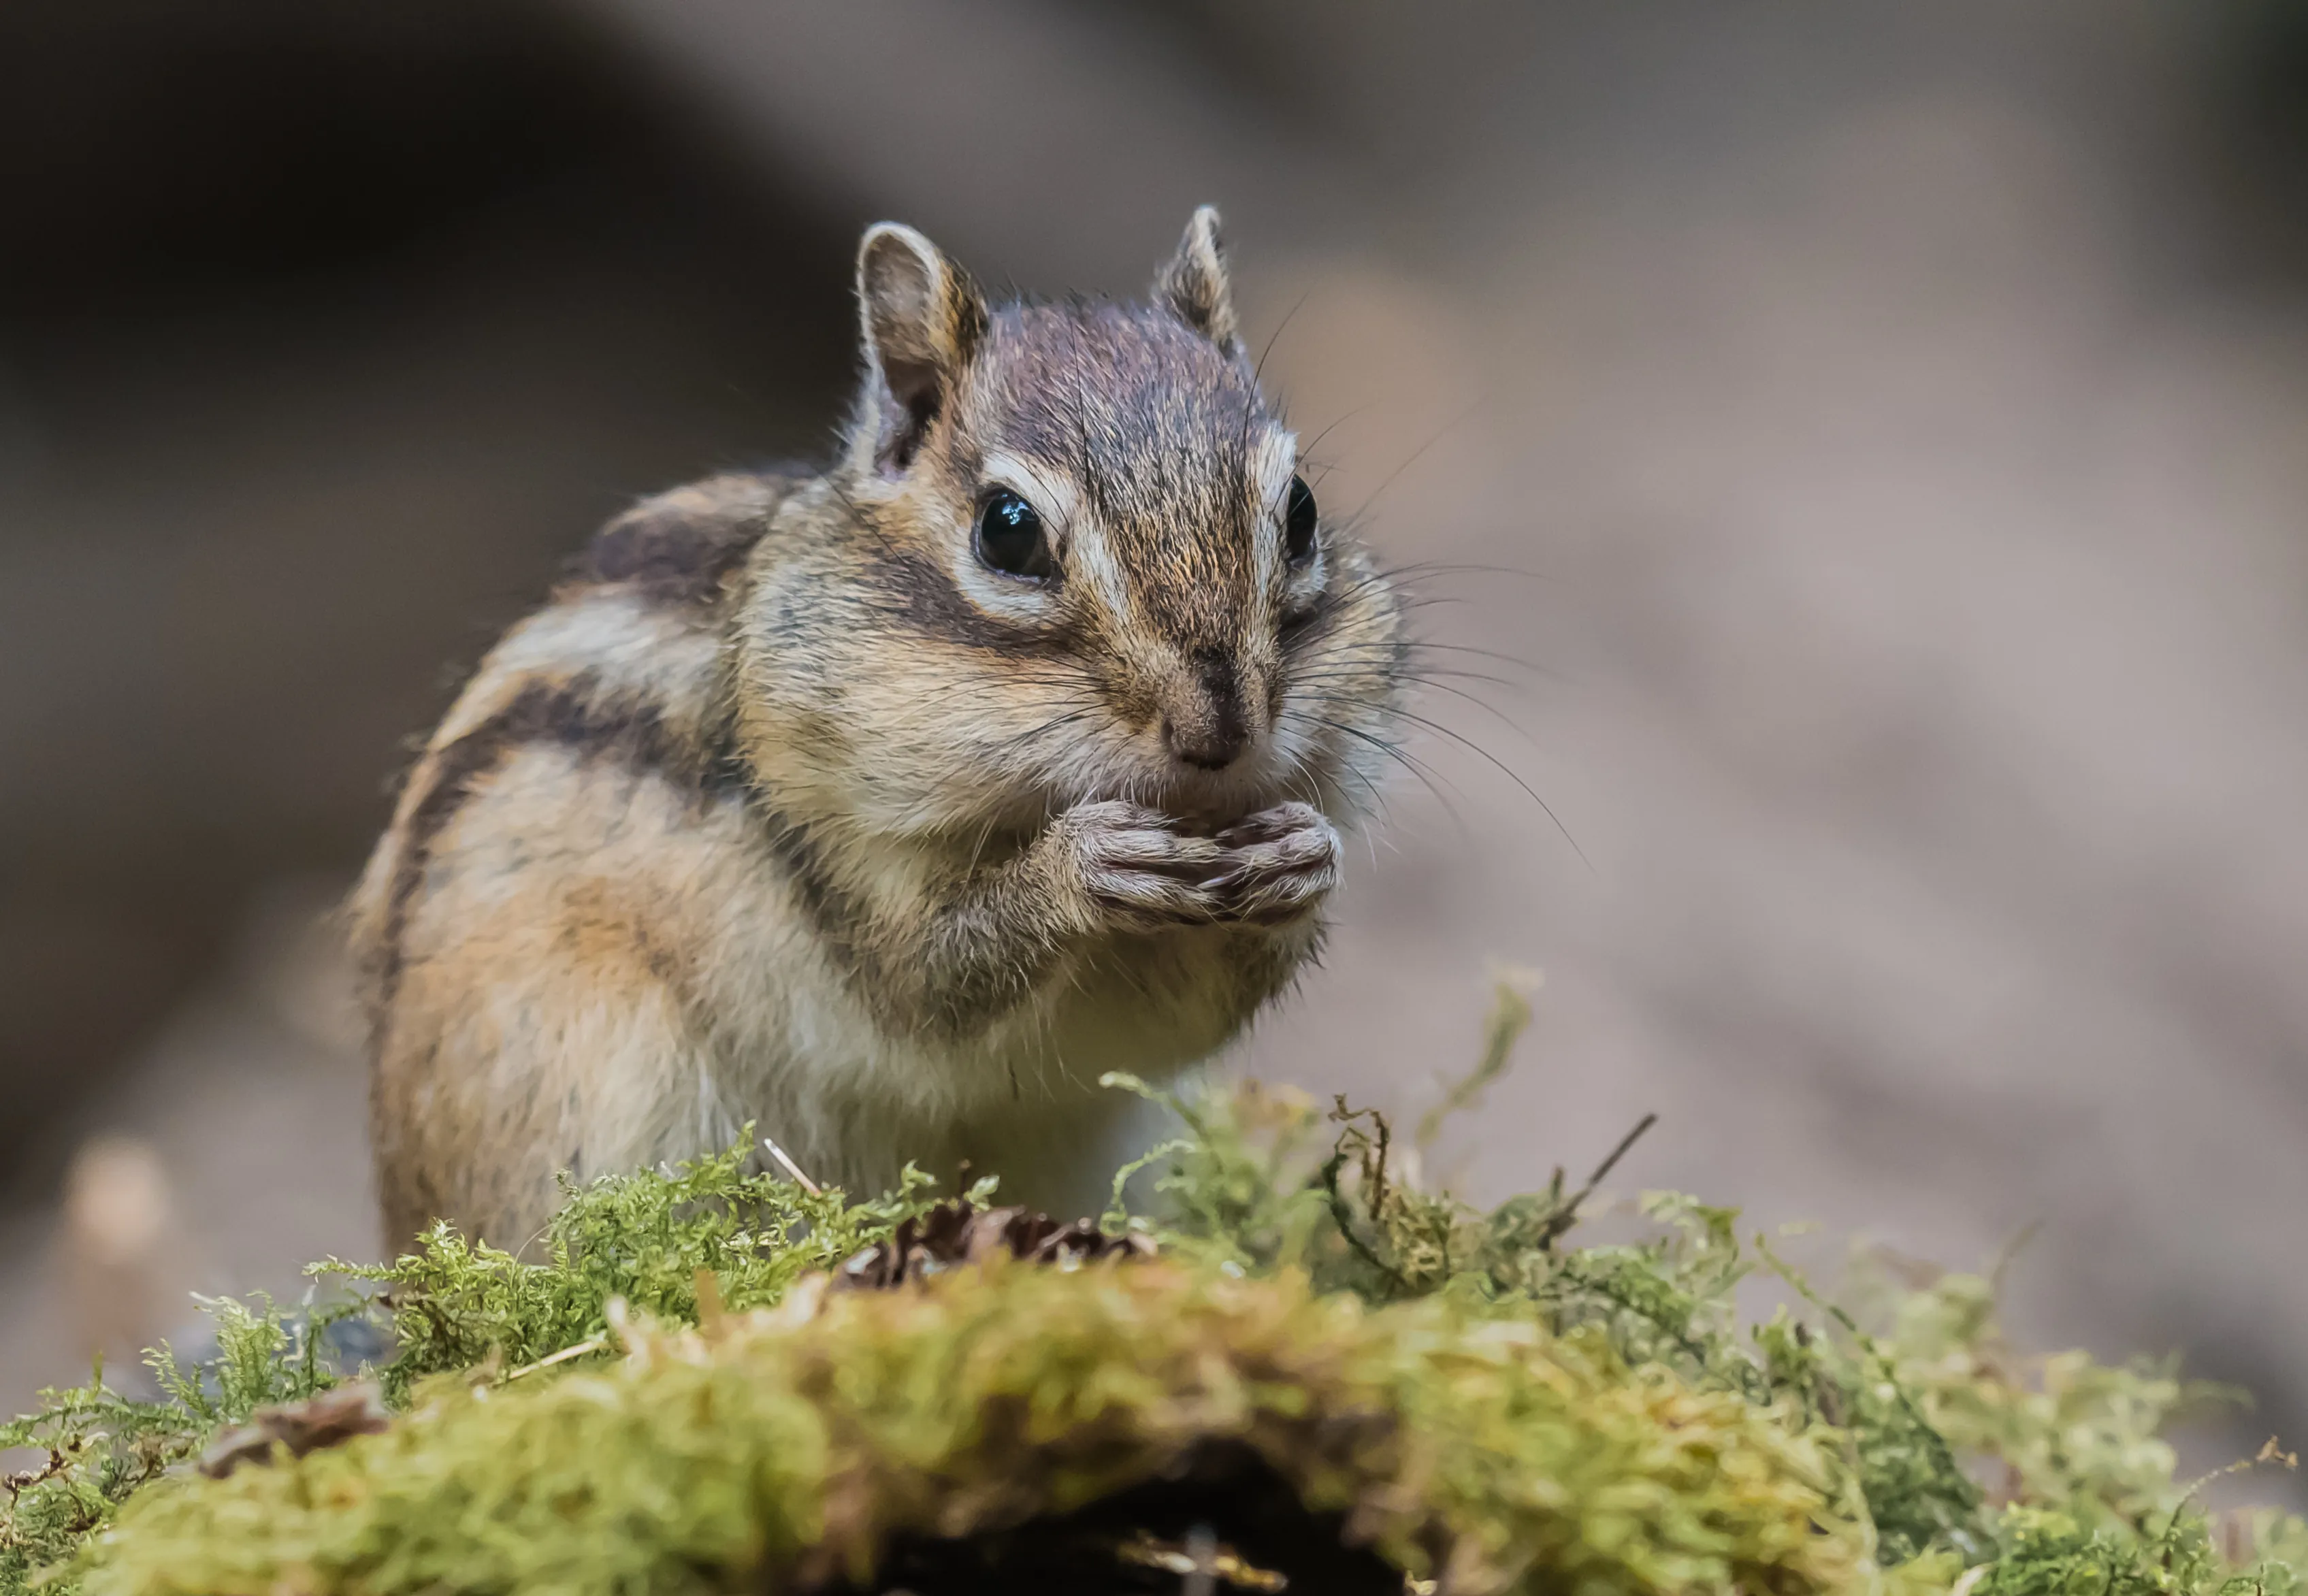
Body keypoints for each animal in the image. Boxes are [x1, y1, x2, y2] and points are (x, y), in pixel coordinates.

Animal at [347, 208, 1406, 1248]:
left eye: (1301, 511)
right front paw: (1078, 864)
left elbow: (1186, 1016)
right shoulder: (821, 837)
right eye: (1007, 530)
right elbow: (923, 980)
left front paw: (1301, 853)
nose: (1216, 731)